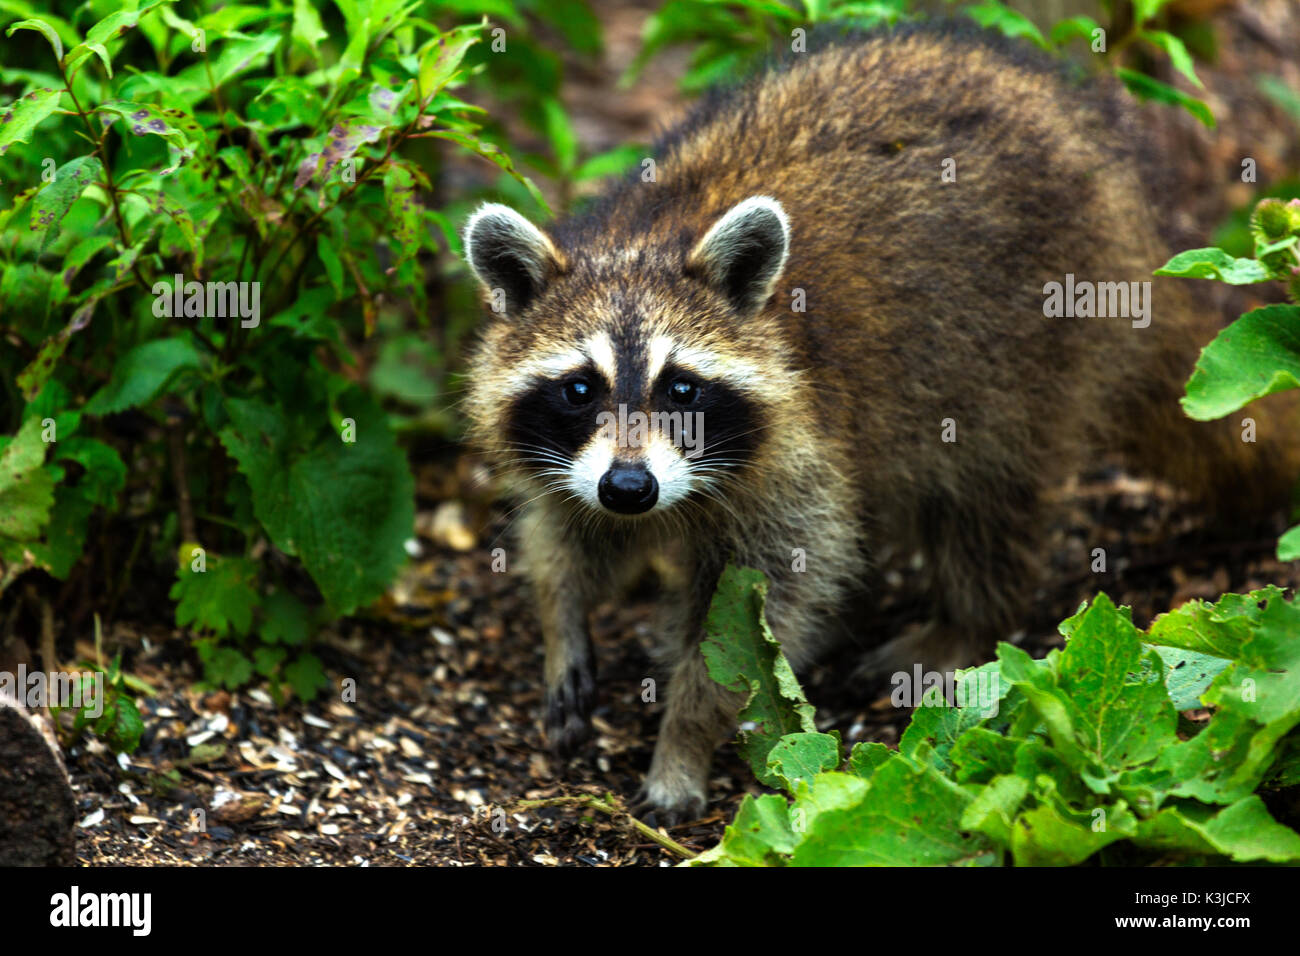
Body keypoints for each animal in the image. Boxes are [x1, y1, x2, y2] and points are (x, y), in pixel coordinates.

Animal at [460, 24, 1297, 820]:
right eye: (579, 388)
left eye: (683, 388)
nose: (631, 490)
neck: (641, 242)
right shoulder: (575, 459)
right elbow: (569, 533)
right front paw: (561, 620)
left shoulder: (794, 459)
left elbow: (756, 620)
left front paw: (685, 738)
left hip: (1023, 343)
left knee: (986, 492)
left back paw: (968, 617)